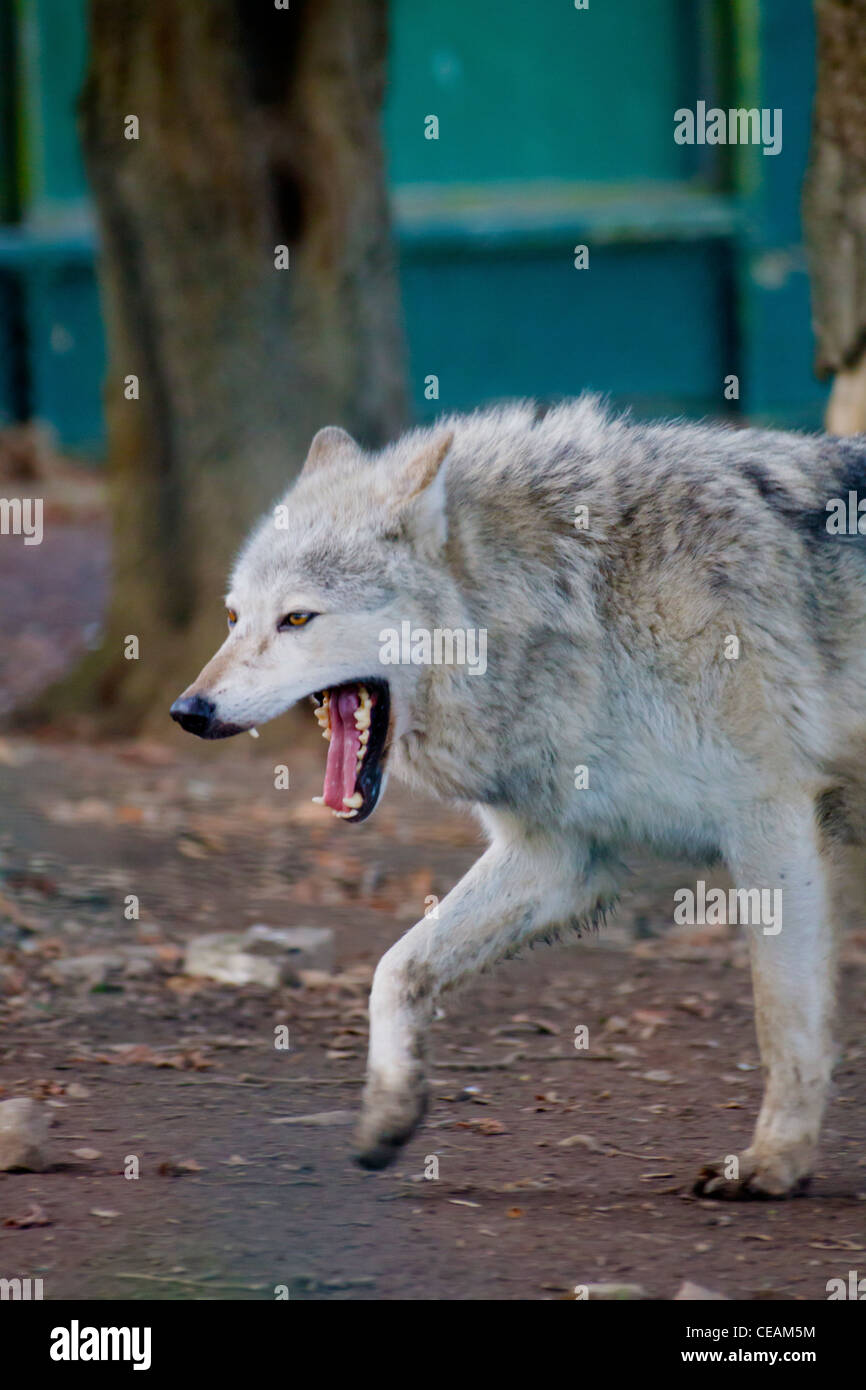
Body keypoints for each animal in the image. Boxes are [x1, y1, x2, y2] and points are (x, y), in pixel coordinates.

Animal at [171, 397, 866, 1198]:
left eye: (297, 619)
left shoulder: (772, 825)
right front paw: (389, 1111)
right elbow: (395, 969)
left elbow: (784, 1015)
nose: (188, 711)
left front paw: (774, 1162)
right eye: (233, 618)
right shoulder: (558, 856)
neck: (581, 603)